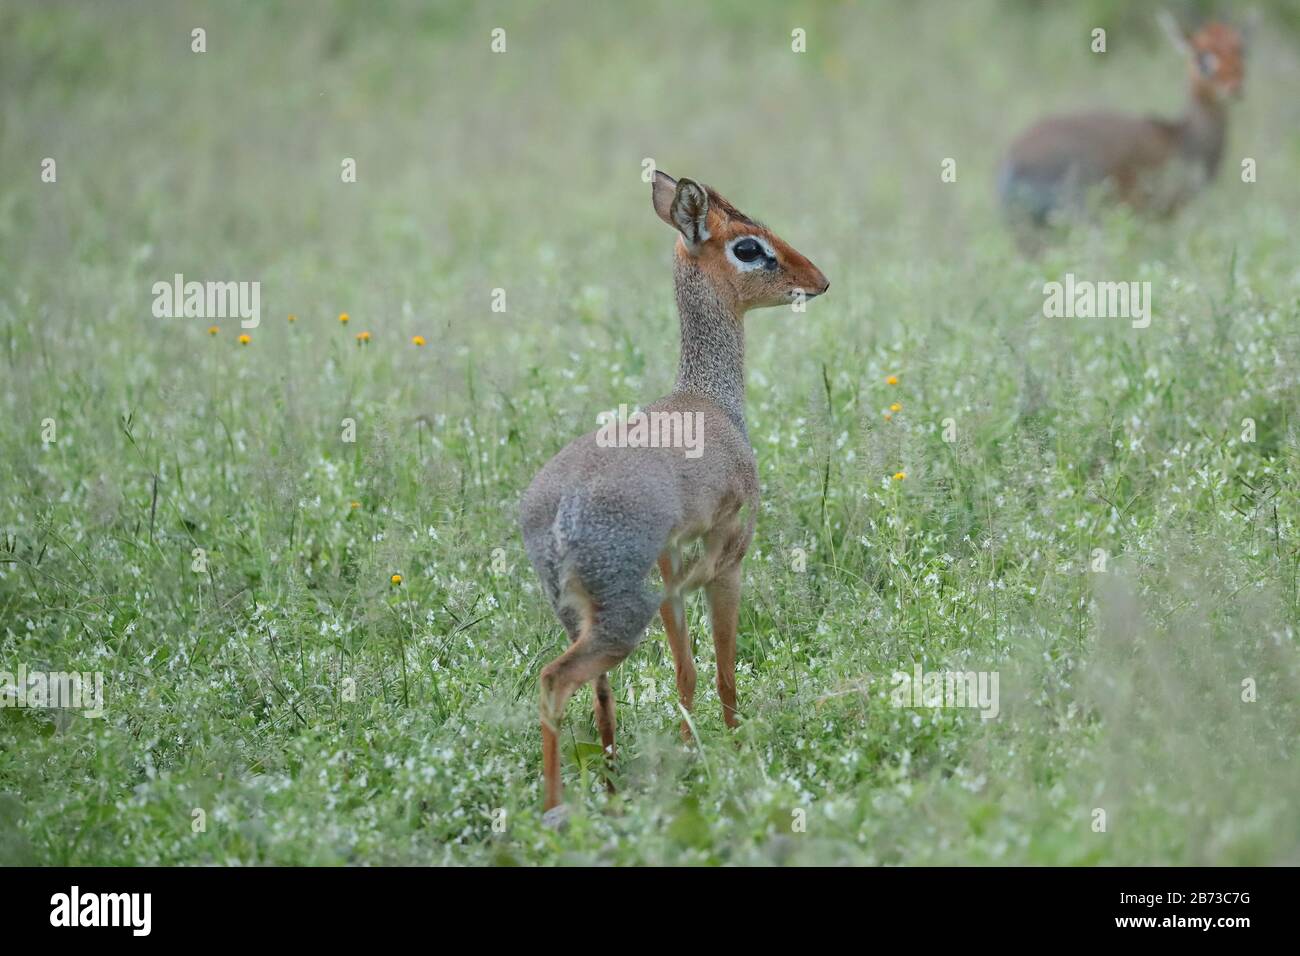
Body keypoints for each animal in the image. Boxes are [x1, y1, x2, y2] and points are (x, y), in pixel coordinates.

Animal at [520, 172, 829, 819]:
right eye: (748, 246)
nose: (817, 280)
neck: (711, 401)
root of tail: (557, 511)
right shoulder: (729, 554)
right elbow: (725, 665)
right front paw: (733, 746)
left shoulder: (672, 558)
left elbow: (685, 667)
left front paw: (692, 749)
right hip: (619, 617)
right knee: (554, 680)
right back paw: (557, 810)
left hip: (577, 611)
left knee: (599, 696)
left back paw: (612, 785)